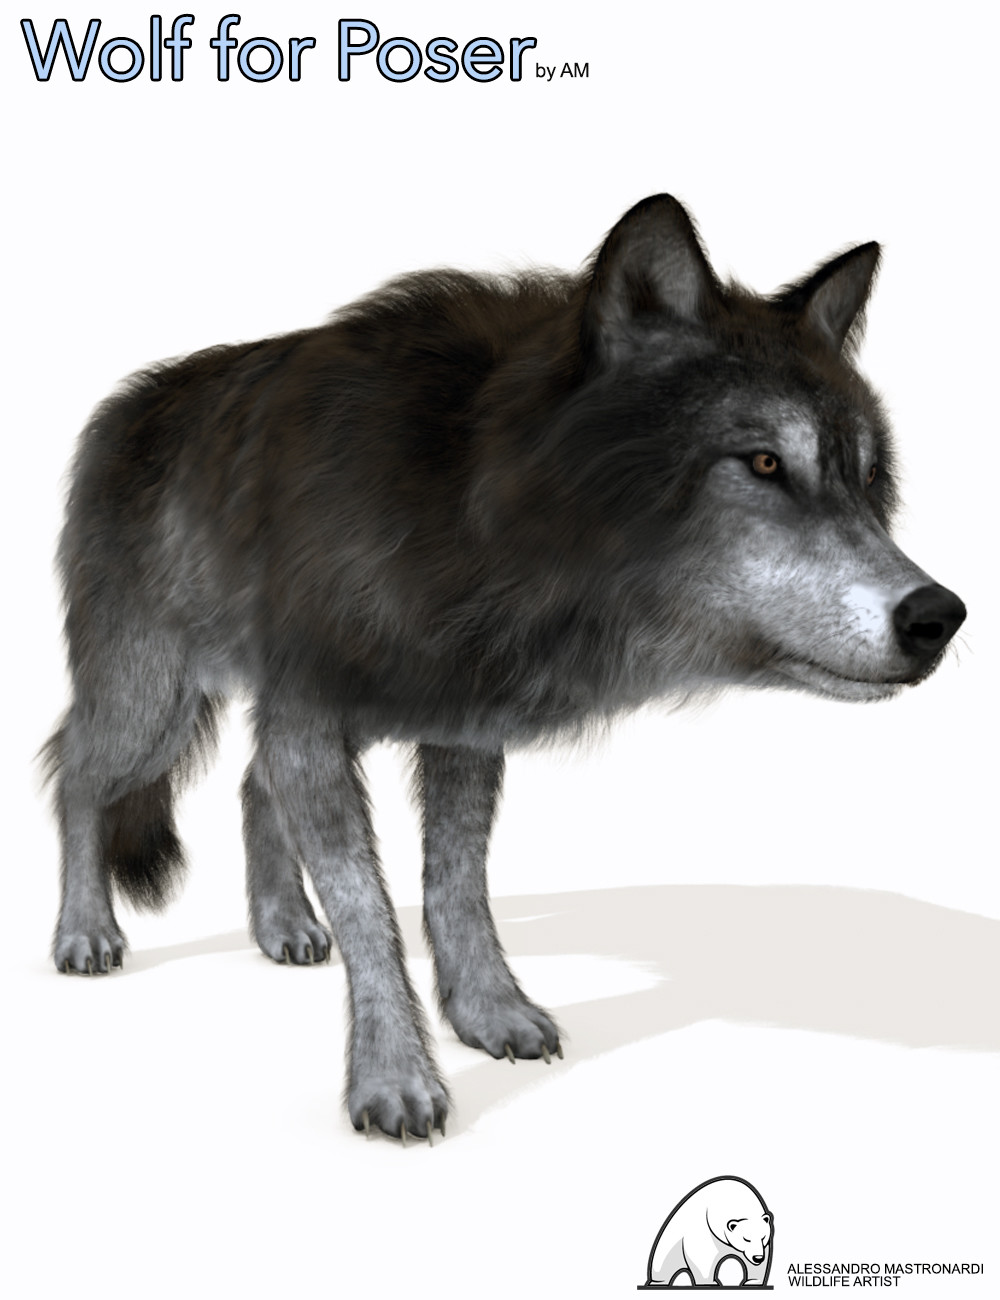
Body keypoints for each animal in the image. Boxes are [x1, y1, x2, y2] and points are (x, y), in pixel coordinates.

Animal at [47, 194, 965, 1141]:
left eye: (866, 479)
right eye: (765, 462)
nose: (940, 617)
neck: (469, 505)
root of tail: (127, 405)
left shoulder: (459, 728)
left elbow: (456, 887)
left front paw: (487, 1013)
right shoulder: (317, 714)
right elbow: (371, 909)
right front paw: (394, 1079)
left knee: (250, 782)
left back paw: (283, 924)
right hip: (151, 709)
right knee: (76, 771)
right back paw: (84, 934)